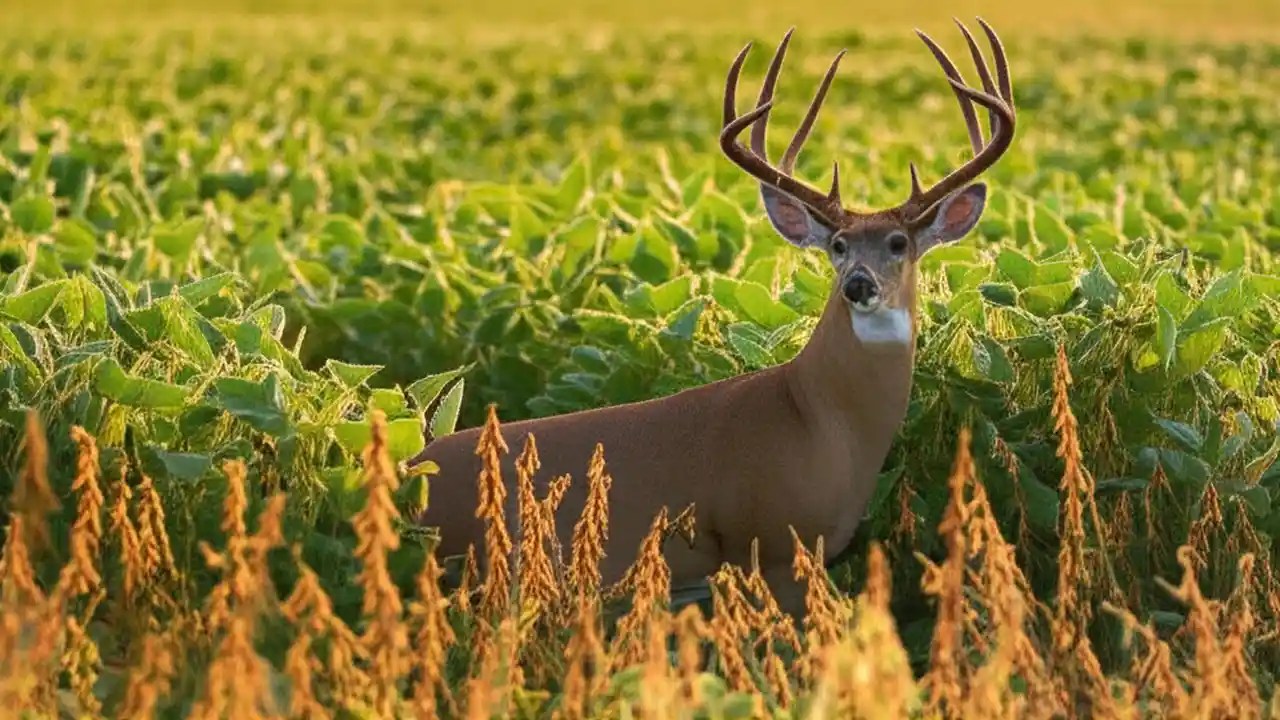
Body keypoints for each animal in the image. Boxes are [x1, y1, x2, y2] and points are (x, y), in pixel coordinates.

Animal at [410, 18, 1016, 619]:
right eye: (839, 245)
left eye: (898, 242)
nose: (859, 285)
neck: (820, 421)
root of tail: (411, 473)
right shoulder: (768, 542)